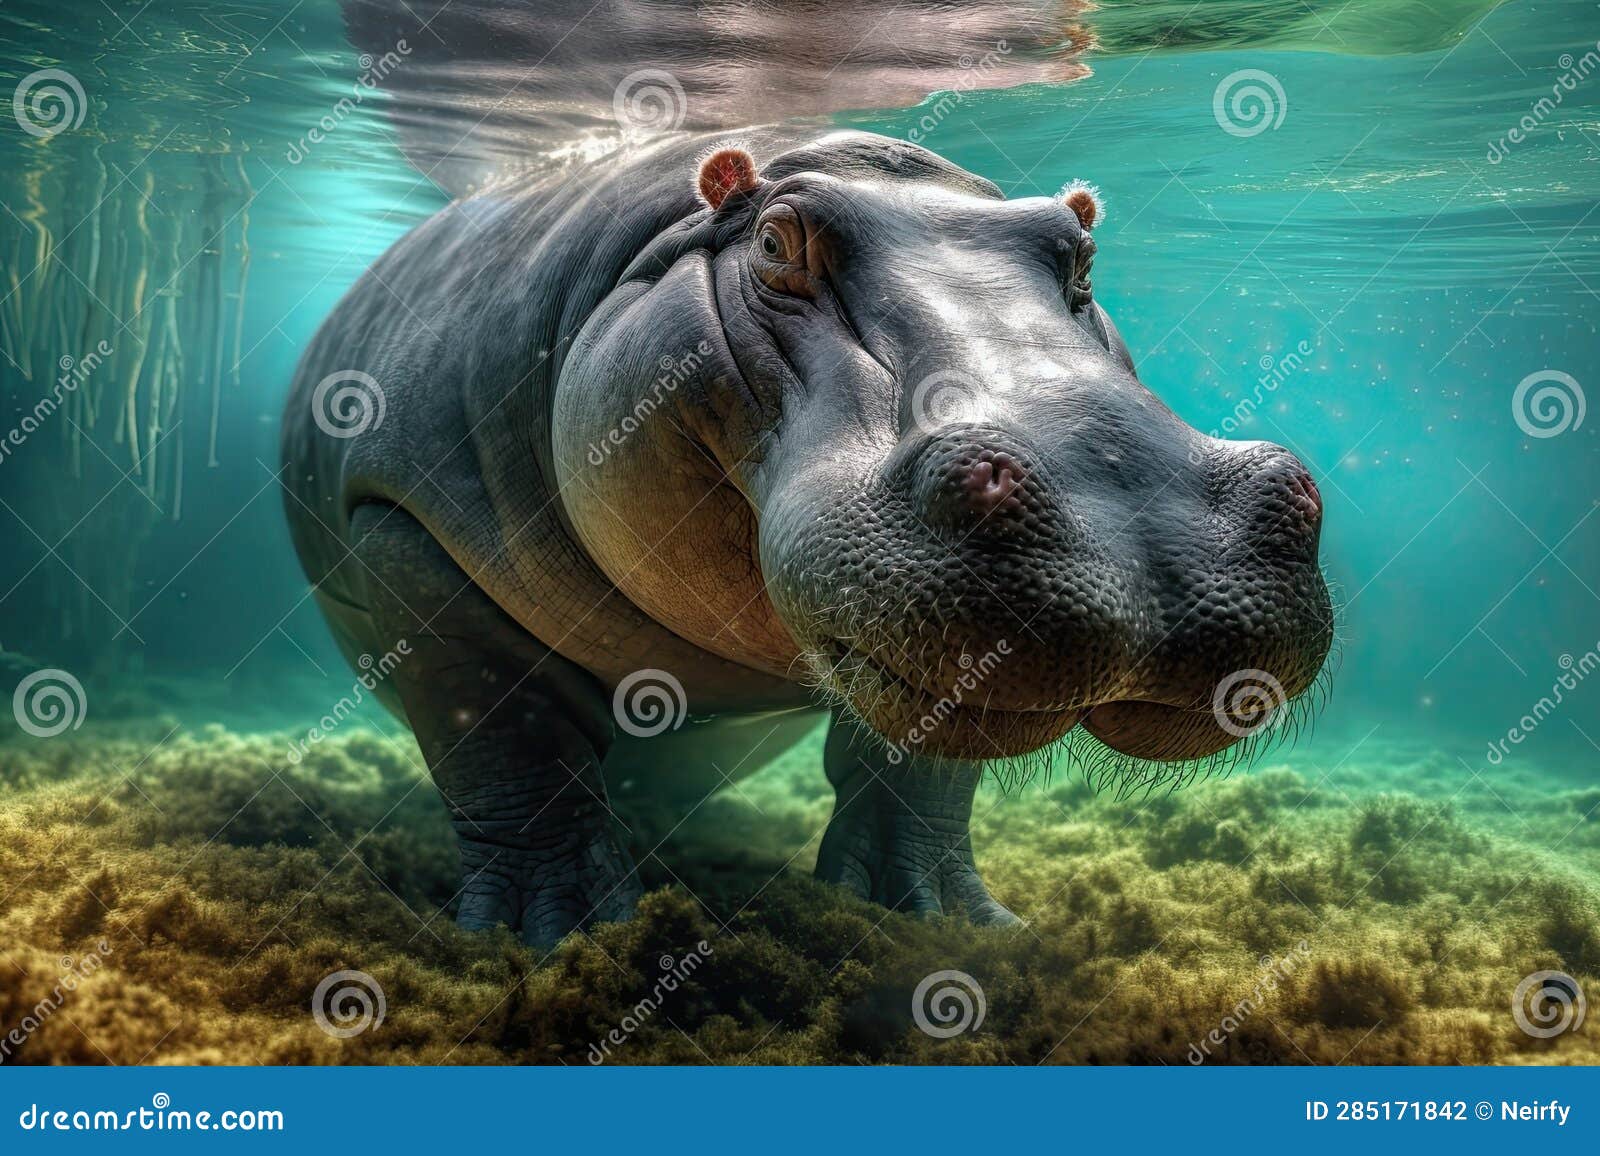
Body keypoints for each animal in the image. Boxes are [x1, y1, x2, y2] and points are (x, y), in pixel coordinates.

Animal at [281, 129, 1332, 947]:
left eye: (1078, 254)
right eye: (776, 240)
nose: (1150, 541)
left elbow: (916, 773)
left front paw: (943, 921)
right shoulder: (403, 533)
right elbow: (515, 747)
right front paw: (563, 933)